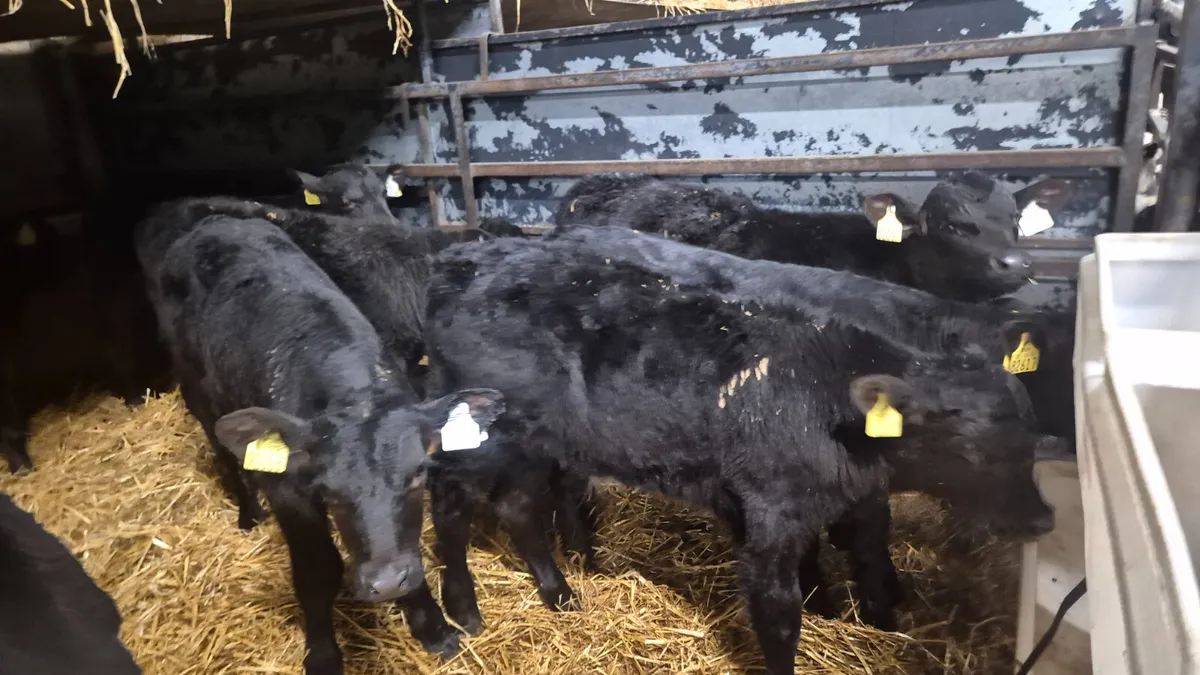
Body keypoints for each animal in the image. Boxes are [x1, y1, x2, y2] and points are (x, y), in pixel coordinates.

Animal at [134, 204, 505, 675]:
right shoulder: (289, 491)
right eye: (328, 490)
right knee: (221, 447)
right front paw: (323, 653)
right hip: (197, 385)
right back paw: (247, 511)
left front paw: (432, 626)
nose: (385, 583)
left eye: (418, 474)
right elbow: (316, 572)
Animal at [421, 235, 1065, 675]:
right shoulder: (772, 515)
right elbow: (780, 614)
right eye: (969, 448)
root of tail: (467, 257)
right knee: (451, 501)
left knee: (517, 506)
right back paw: (463, 608)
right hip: (484, 435)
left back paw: (561, 591)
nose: (1041, 520)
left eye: (1029, 433)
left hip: (536, 443)